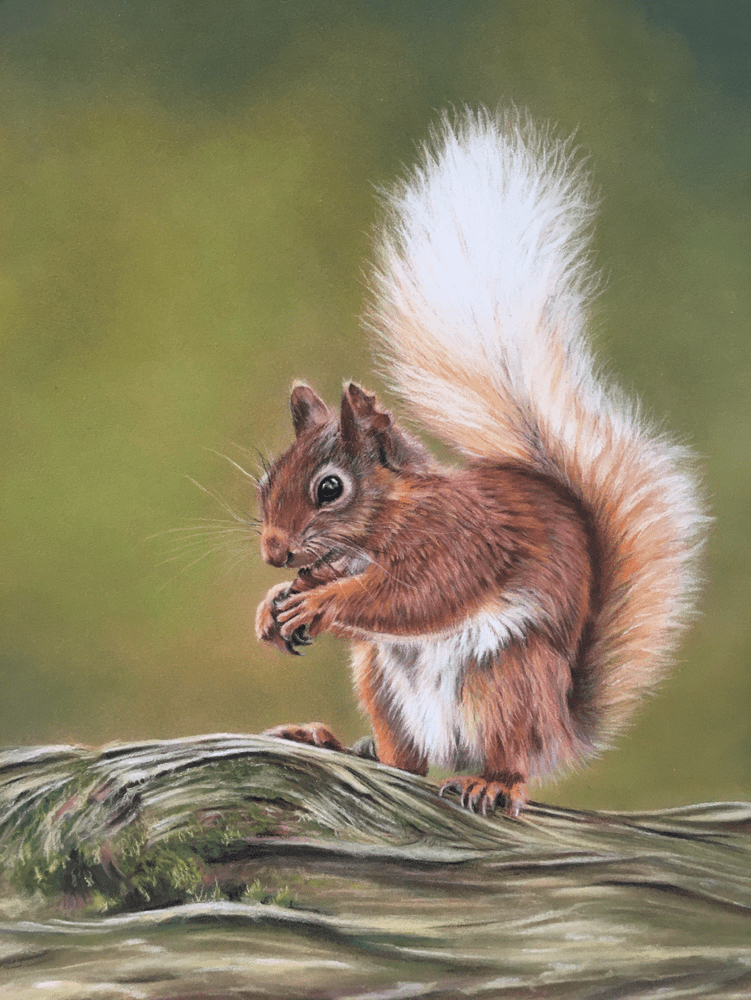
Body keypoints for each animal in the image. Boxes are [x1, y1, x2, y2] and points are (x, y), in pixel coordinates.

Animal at [254, 107, 705, 817]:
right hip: (382, 680)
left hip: (506, 683)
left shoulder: (462, 543)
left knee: (505, 760)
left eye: (330, 489)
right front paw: (273, 605)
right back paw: (333, 741)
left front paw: (319, 603)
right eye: (266, 481)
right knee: (406, 763)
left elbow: (408, 597)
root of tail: (561, 728)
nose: (273, 552)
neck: (390, 521)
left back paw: (492, 781)